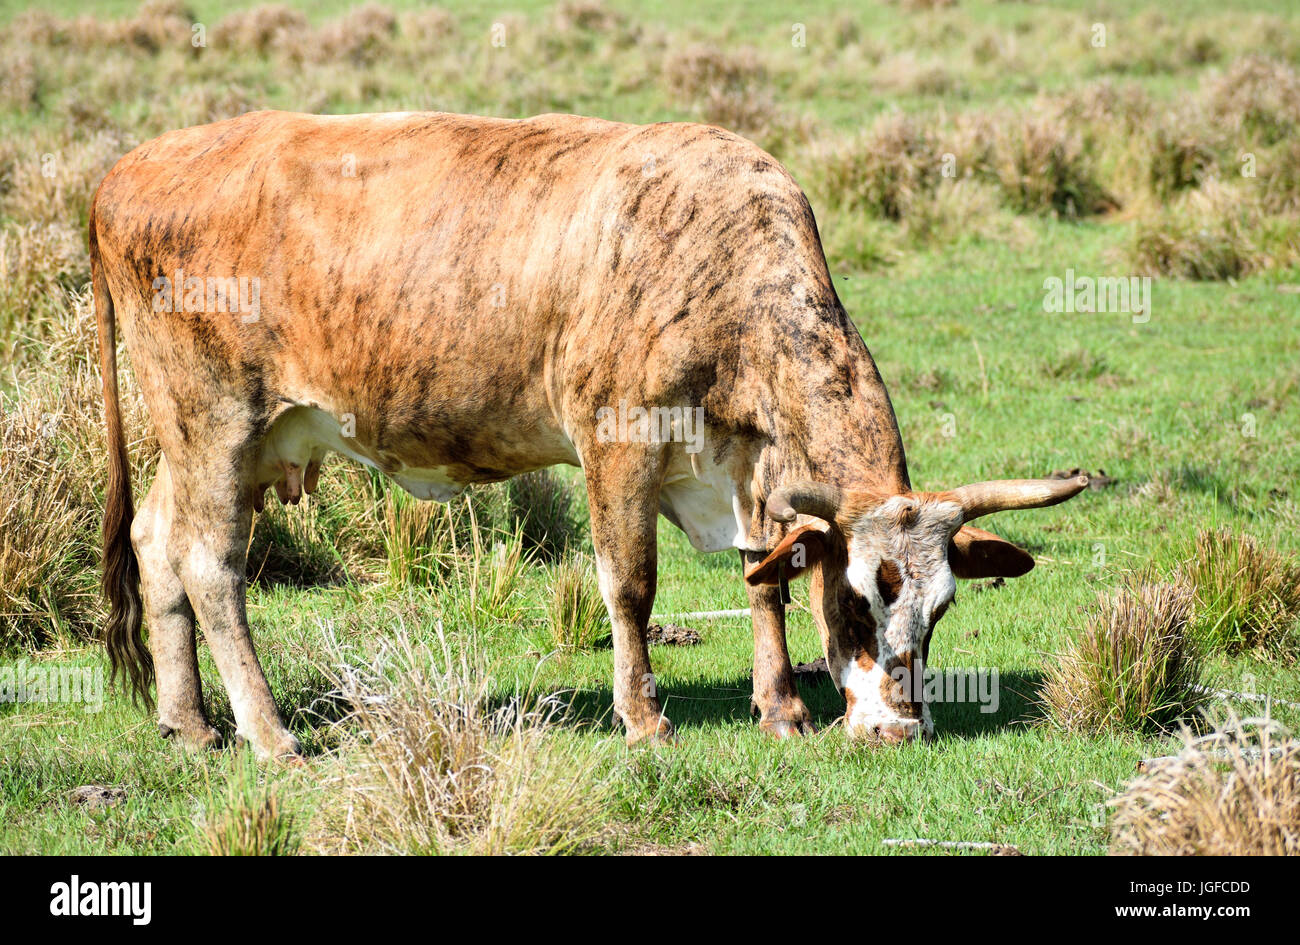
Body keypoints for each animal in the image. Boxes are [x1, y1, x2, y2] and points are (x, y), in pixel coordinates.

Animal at [91, 110, 1087, 759]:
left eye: (942, 605)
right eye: (858, 595)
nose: (901, 727)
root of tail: (125, 170)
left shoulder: (747, 469)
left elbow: (762, 579)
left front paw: (781, 708)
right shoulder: (617, 444)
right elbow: (631, 586)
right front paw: (643, 716)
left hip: (222, 439)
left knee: (157, 539)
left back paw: (189, 722)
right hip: (215, 423)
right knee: (211, 567)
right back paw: (269, 733)